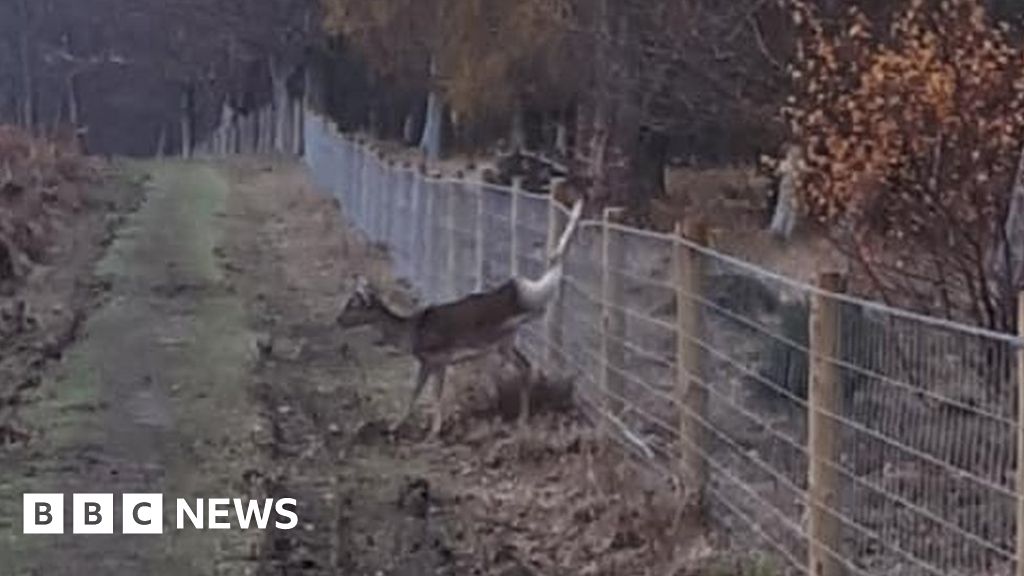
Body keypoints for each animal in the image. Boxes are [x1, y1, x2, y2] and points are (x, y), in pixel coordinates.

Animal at [337, 198, 584, 438]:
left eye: (353, 305)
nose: (338, 320)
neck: (410, 334)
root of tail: (512, 292)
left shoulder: (438, 358)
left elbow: (431, 394)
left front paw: (432, 431)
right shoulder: (428, 361)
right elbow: (416, 392)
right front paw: (395, 426)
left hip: (502, 332)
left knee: (536, 318)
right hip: (506, 342)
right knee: (526, 366)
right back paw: (522, 418)